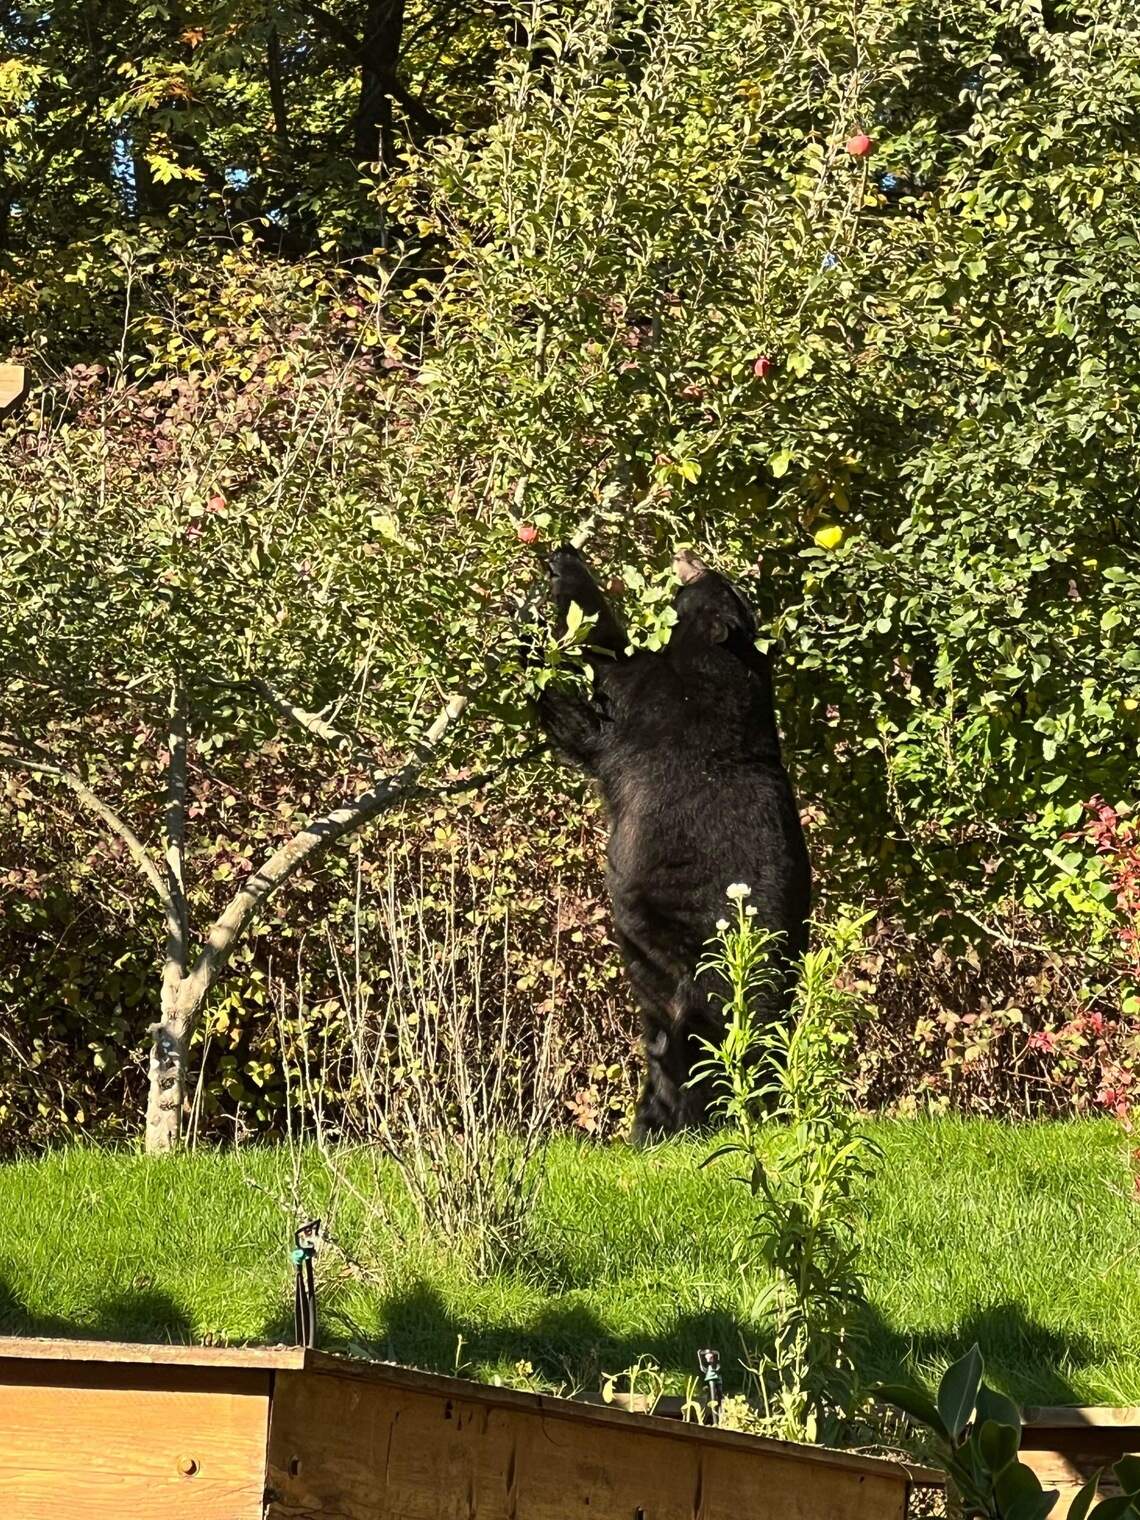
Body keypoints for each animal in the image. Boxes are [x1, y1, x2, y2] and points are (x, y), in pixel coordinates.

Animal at [536, 544, 811, 1141]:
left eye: (720, 581)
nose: (693, 555)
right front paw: (548, 698)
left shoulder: (670, 704)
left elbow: (615, 663)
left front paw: (567, 568)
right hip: (664, 990)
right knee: (667, 1055)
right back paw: (654, 1130)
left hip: (718, 976)